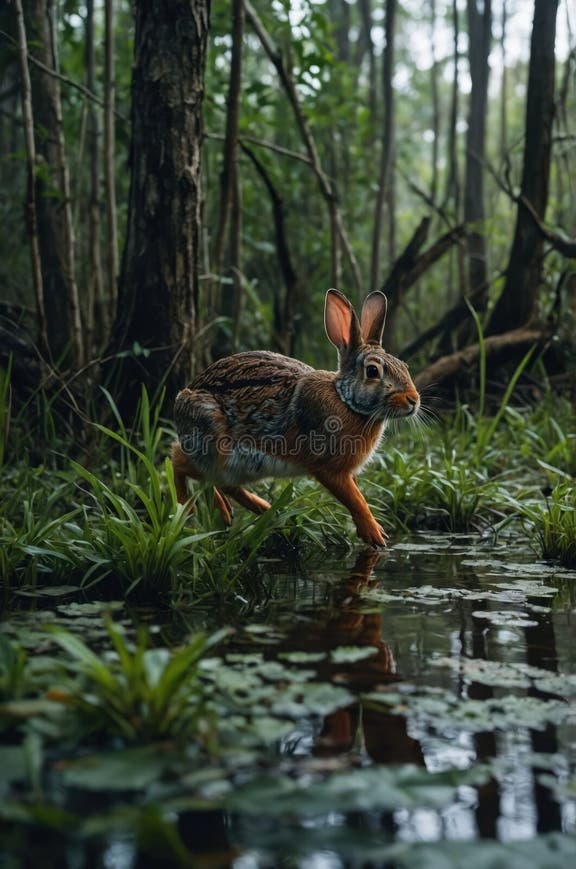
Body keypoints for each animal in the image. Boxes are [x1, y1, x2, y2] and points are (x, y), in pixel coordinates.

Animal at [172, 289, 420, 547]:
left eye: (404, 366)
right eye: (372, 371)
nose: (414, 400)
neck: (345, 400)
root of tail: (181, 401)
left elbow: (356, 494)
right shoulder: (329, 468)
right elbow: (354, 498)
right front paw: (375, 534)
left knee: (219, 482)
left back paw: (254, 508)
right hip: (216, 444)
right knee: (179, 459)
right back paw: (187, 507)